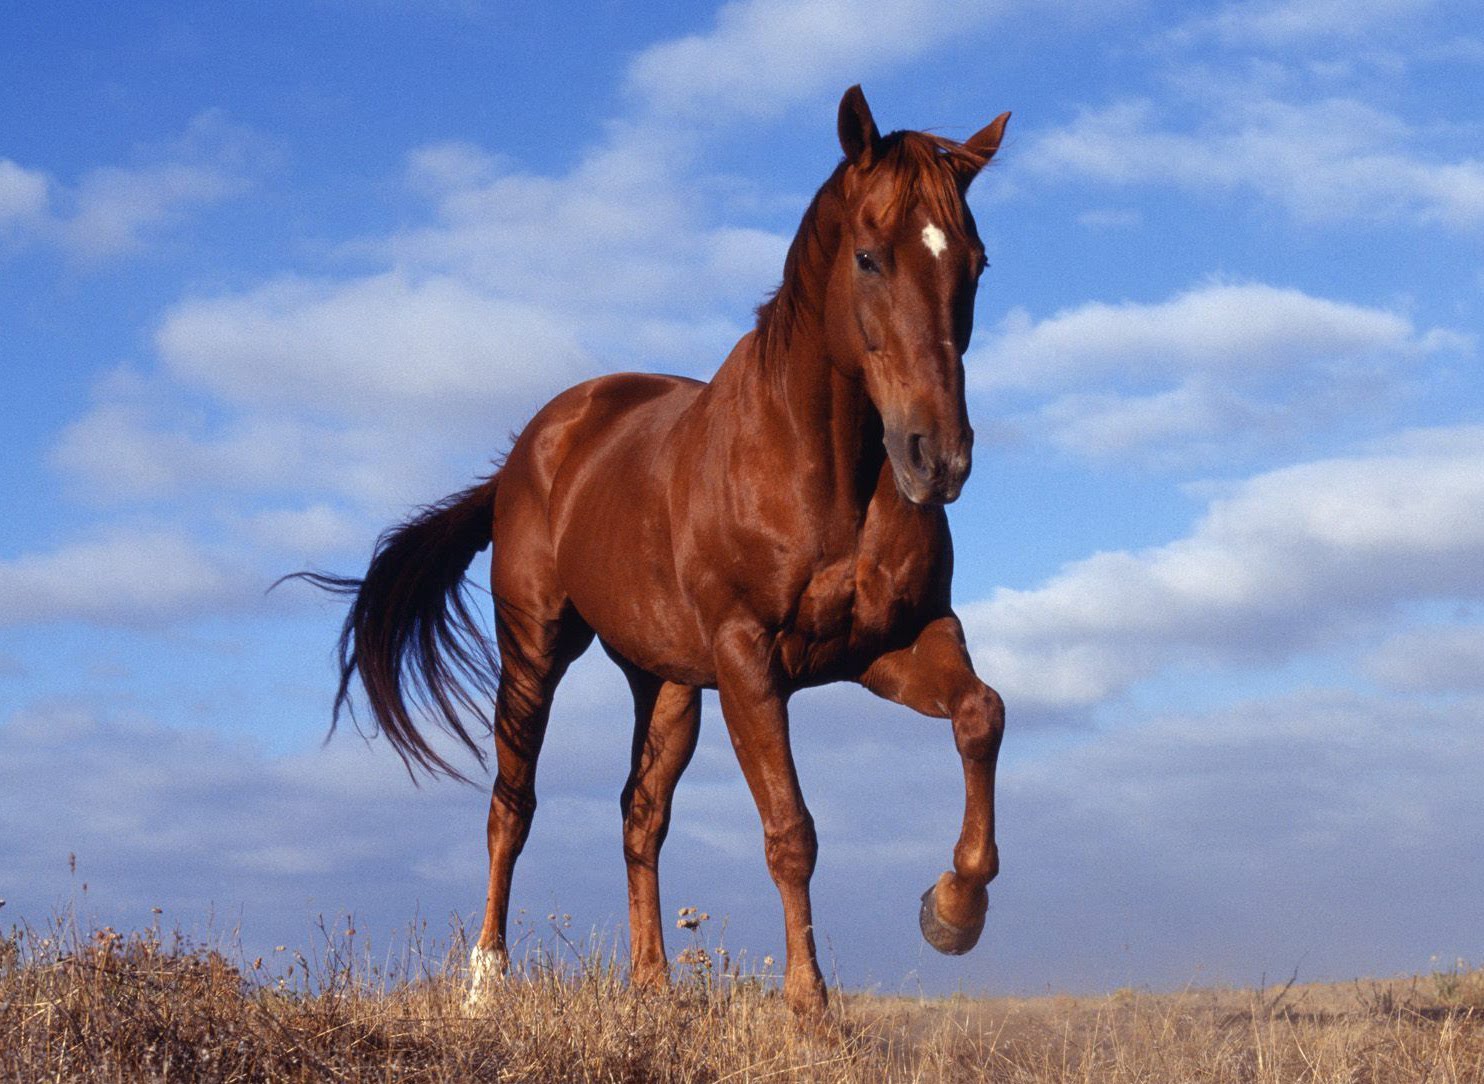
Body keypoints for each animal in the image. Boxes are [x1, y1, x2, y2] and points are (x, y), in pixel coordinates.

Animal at [292, 85, 1010, 1017]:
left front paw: (952, 911)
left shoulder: (892, 644)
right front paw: (809, 1009)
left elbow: (981, 715)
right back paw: (486, 983)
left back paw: (651, 986)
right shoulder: (750, 660)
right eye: (868, 257)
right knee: (511, 807)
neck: (821, 469)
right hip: (535, 649)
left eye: (977, 263)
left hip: (664, 681)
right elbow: (791, 830)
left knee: (640, 814)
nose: (938, 457)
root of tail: (529, 451)